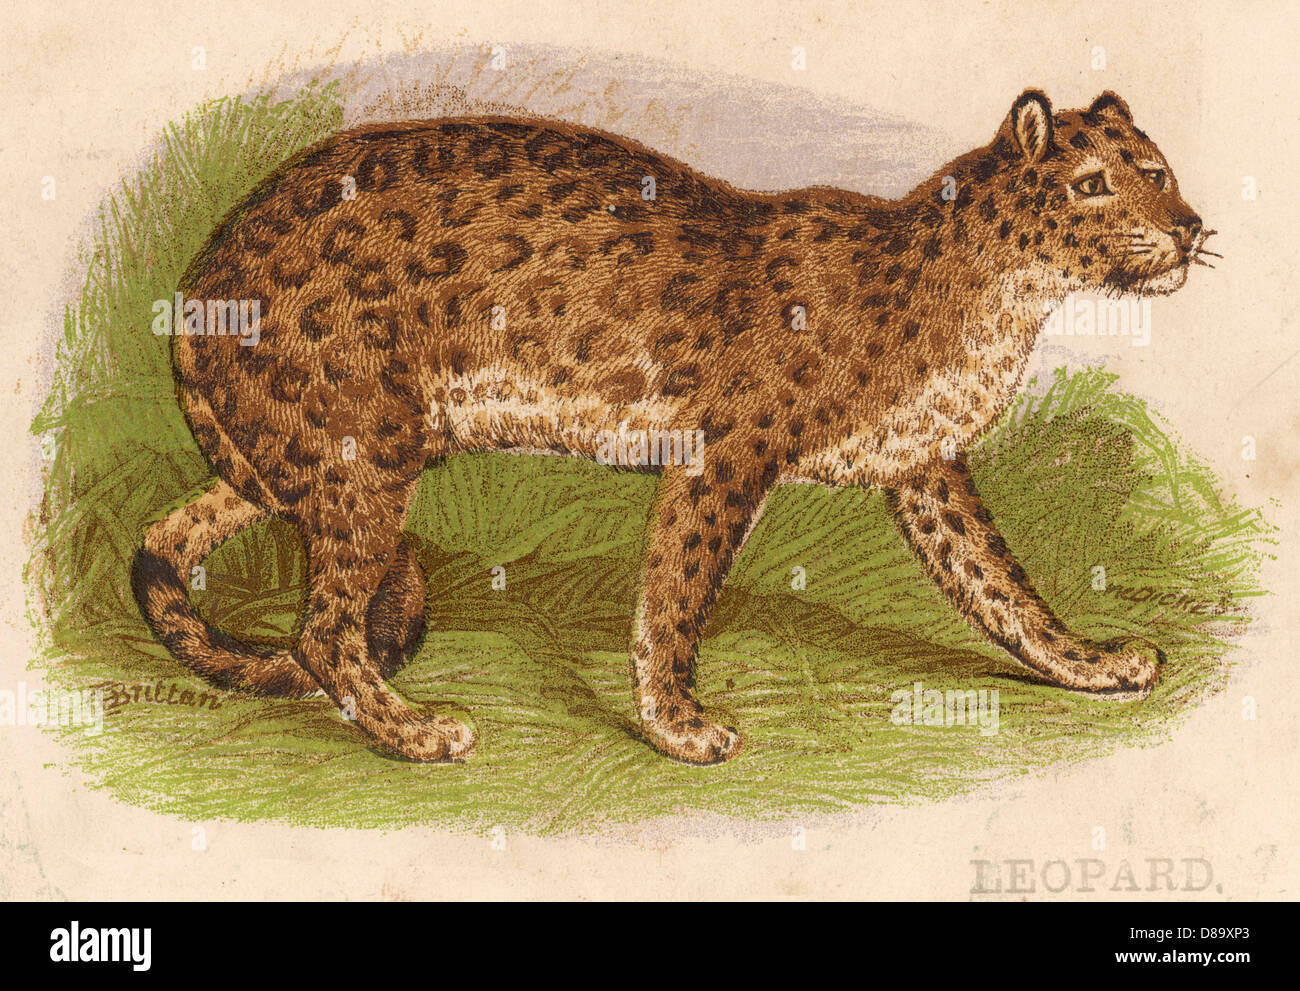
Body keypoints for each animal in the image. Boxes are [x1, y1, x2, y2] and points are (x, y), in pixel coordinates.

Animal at [132, 88, 1210, 764]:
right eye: (1092, 184)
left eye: (1159, 170)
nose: (1189, 226)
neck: (999, 302)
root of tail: (202, 270)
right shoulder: (726, 452)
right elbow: (676, 594)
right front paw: (679, 727)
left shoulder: (926, 467)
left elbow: (1003, 587)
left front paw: (1094, 665)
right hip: (361, 451)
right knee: (322, 629)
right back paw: (421, 734)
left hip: (296, 458)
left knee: (171, 535)